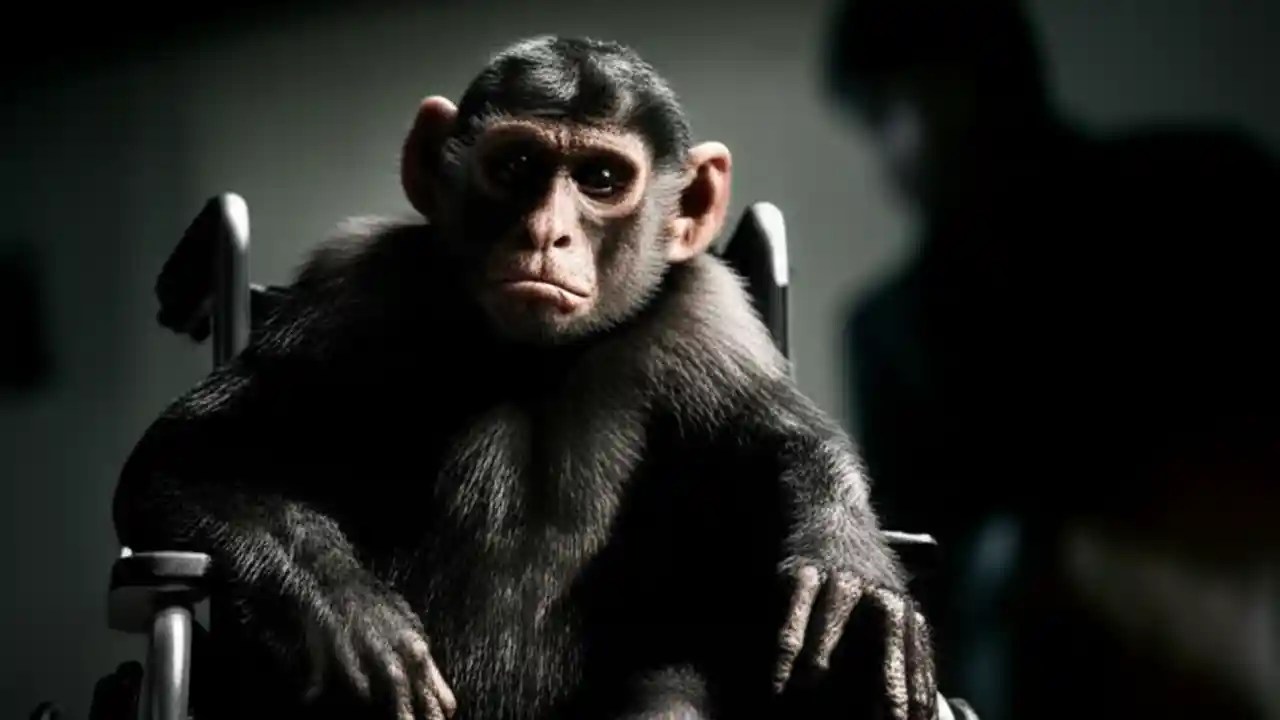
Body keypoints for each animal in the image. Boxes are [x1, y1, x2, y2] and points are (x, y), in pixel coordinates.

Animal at [114, 36, 937, 720]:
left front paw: (851, 570)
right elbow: (188, 457)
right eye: (516, 166)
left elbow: (783, 441)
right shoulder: (354, 292)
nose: (548, 231)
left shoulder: (713, 318)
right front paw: (343, 609)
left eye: (601, 179)